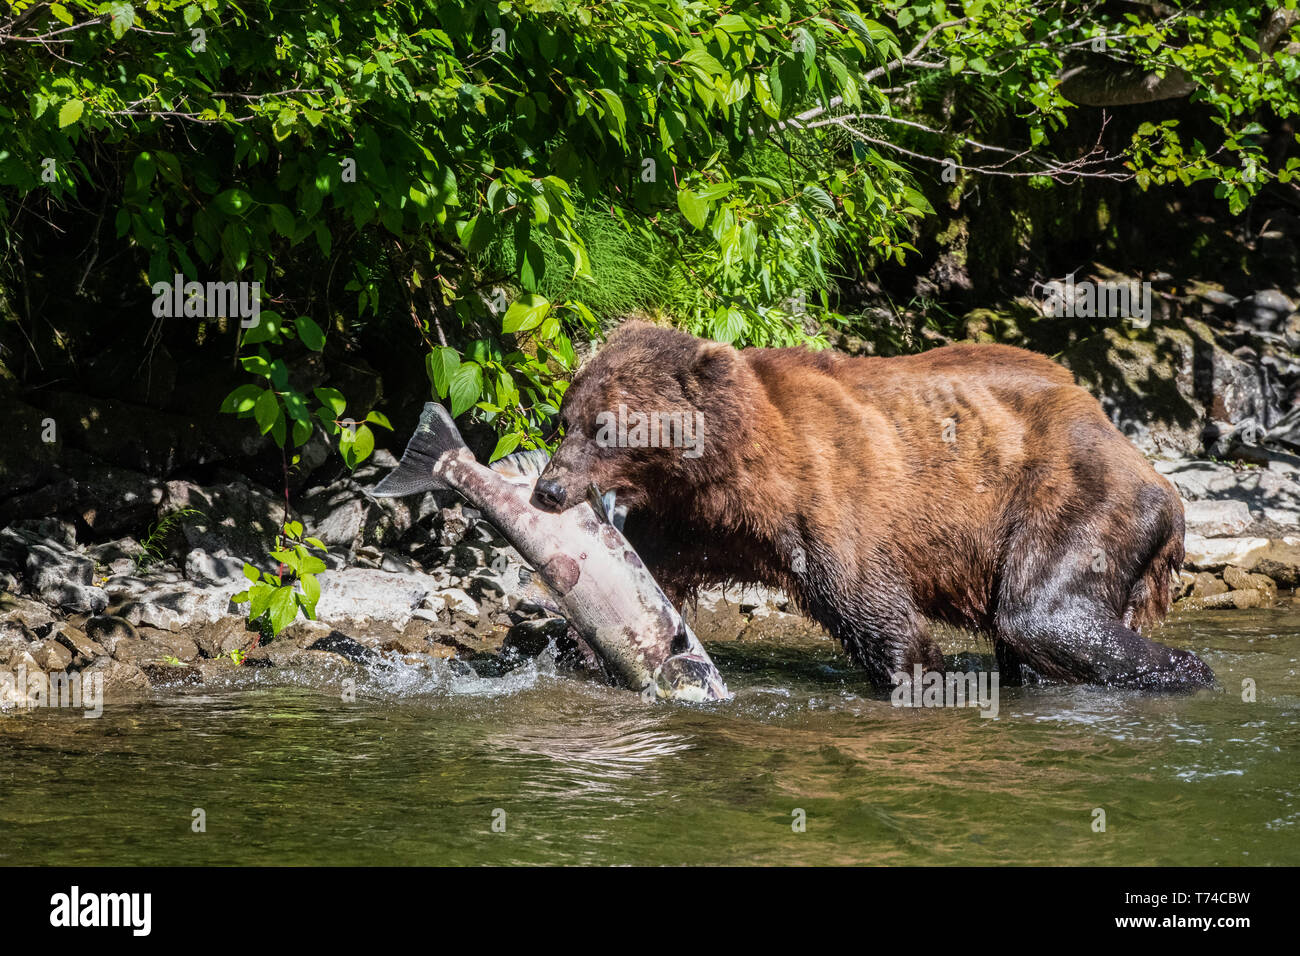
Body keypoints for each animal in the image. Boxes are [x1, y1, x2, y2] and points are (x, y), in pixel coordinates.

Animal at [530, 320, 1215, 691]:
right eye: (565, 418)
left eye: (606, 427)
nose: (548, 489)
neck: (729, 473)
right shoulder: (687, 522)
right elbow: (646, 589)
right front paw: (580, 648)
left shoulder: (828, 498)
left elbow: (877, 612)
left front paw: (921, 675)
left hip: (1072, 493)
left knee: (1039, 614)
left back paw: (1188, 671)